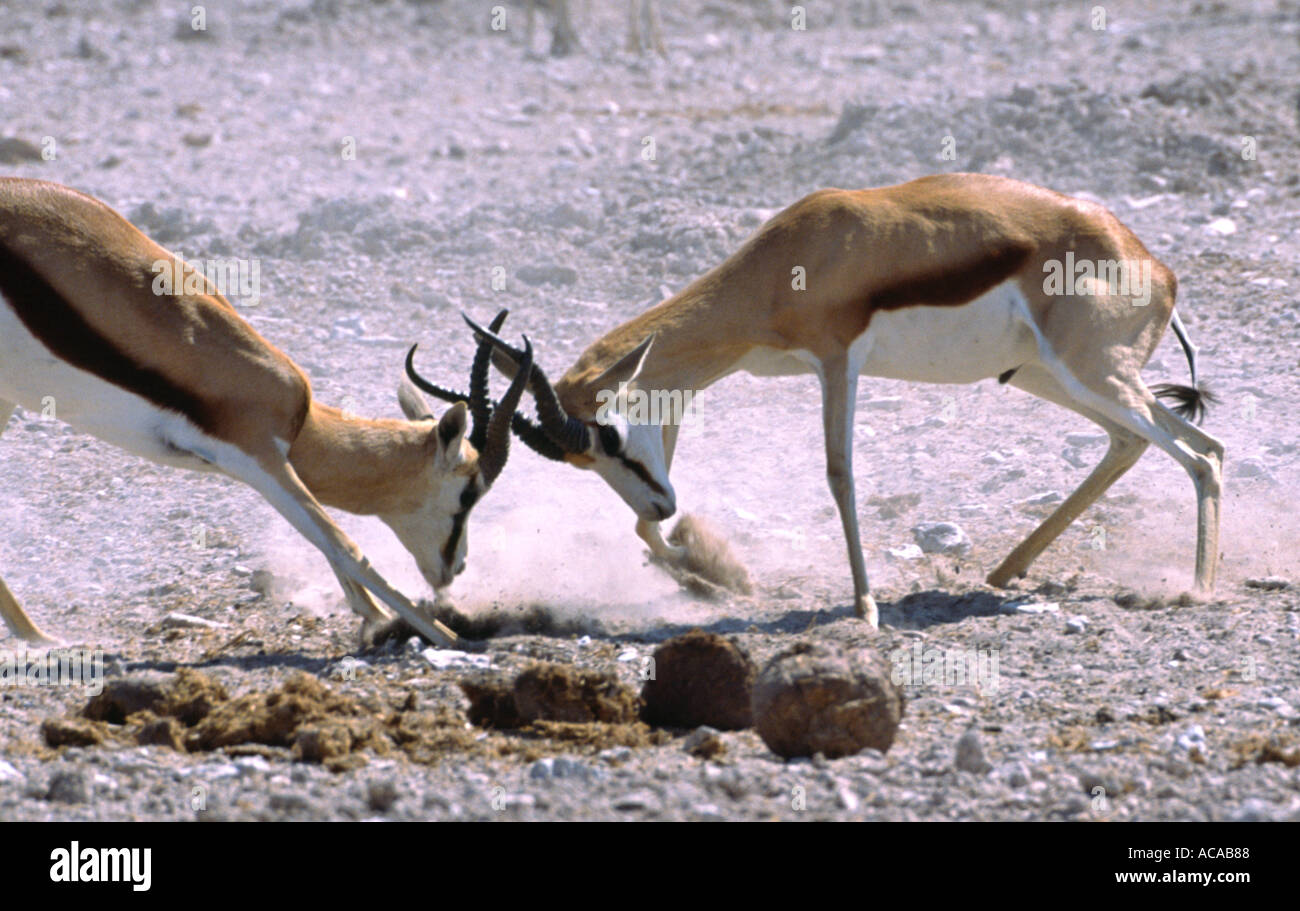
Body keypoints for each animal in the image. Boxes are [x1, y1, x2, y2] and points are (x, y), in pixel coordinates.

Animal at [0, 177, 535, 649]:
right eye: (469, 493)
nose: (456, 568)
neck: (299, 420)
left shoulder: (259, 469)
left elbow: (326, 546)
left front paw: (375, 622)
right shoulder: (260, 458)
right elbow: (344, 544)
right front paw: (450, 636)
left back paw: (36, 635)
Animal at [447, 173, 1224, 628]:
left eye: (606, 437)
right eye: (582, 462)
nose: (666, 505)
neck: (784, 263)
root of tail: (1155, 266)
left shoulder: (837, 363)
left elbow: (840, 475)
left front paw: (864, 606)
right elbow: (643, 527)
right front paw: (713, 578)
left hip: (1090, 374)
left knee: (1205, 454)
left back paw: (1195, 590)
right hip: (1045, 376)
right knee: (1138, 442)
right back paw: (1005, 571)